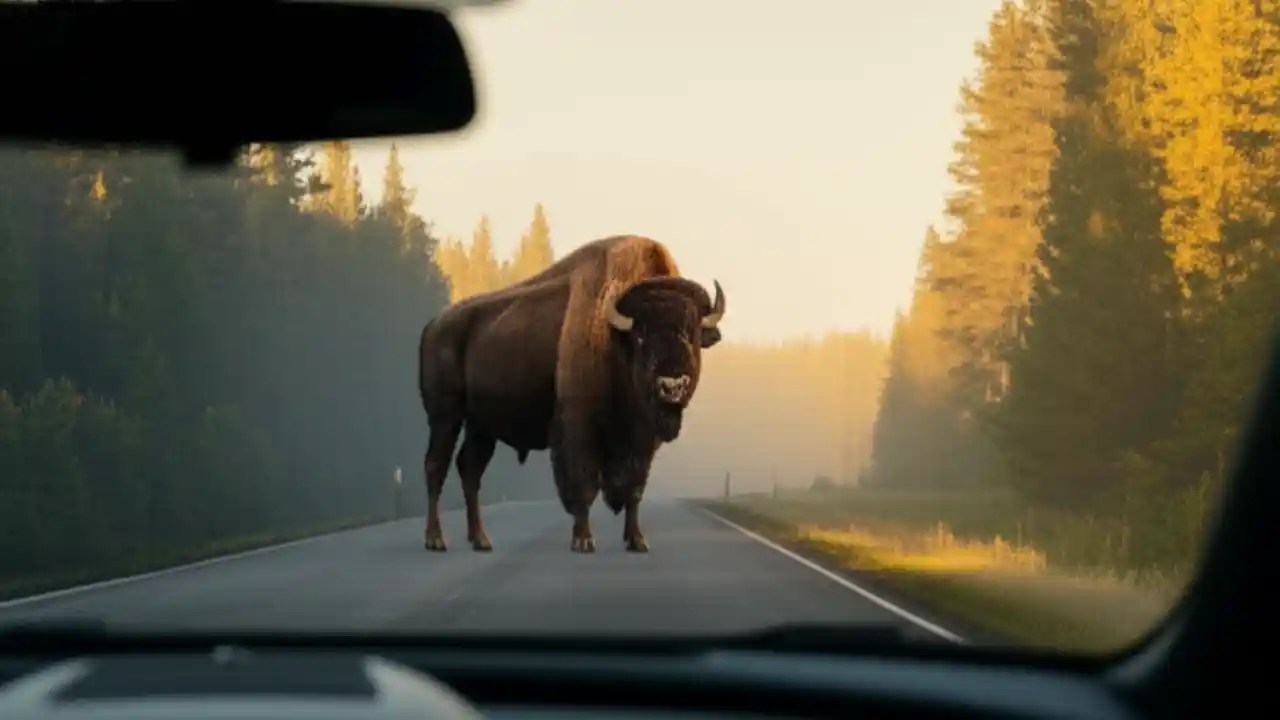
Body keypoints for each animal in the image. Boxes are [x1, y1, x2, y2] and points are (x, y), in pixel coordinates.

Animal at [417, 234, 725, 553]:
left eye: (691, 333)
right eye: (641, 336)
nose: (672, 386)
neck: (617, 342)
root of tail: (433, 325)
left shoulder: (642, 441)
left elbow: (634, 489)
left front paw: (637, 540)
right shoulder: (579, 428)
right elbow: (583, 484)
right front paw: (583, 540)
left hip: (481, 427)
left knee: (470, 470)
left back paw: (481, 539)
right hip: (445, 417)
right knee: (435, 467)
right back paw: (436, 539)